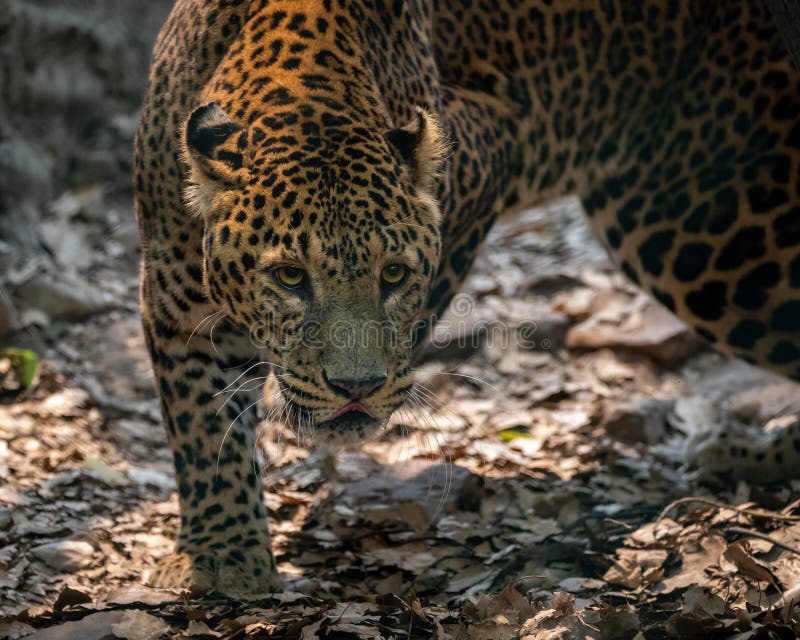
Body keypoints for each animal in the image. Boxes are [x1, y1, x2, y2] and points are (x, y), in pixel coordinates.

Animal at [134, 0, 800, 594]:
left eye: (394, 275)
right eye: (291, 277)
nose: (357, 389)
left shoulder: (495, 141)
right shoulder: (172, 296)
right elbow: (201, 424)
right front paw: (224, 552)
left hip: (705, 237)